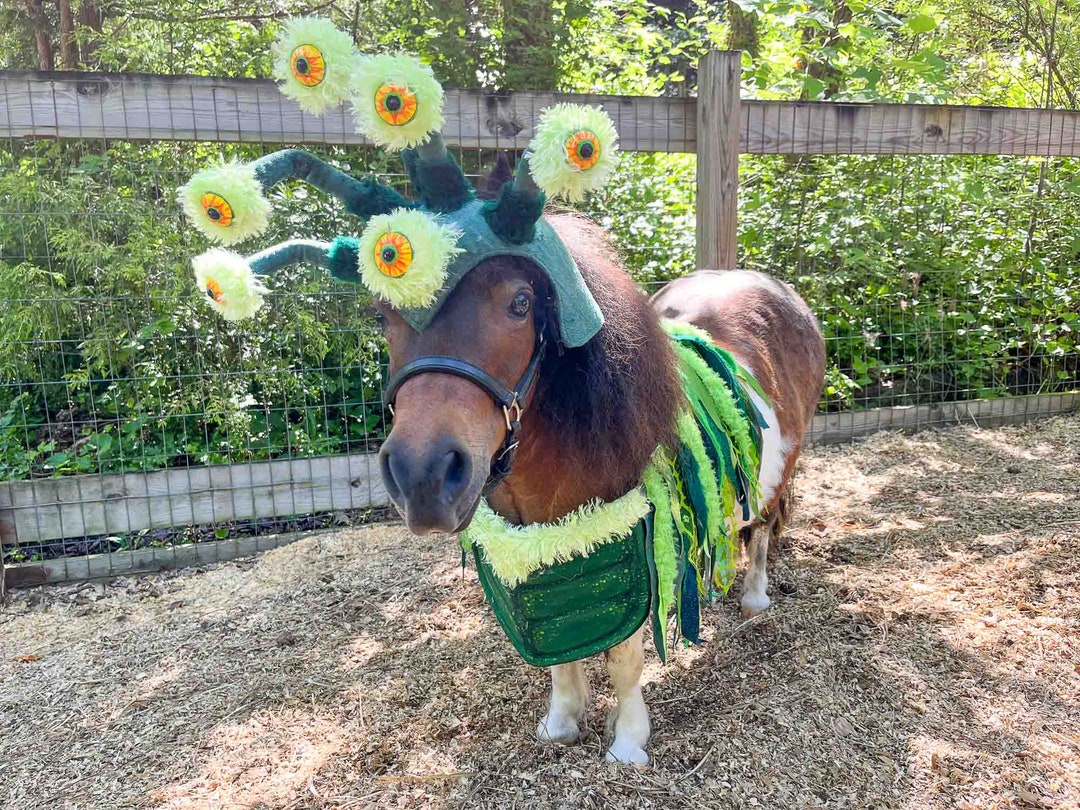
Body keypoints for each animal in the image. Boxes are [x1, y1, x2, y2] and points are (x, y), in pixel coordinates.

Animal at [377, 212, 826, 765]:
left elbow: (624, 660)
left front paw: (628, 741)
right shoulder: (537, 563)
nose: (422, 476)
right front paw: (562, 720)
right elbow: (557, 652)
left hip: (780, 469)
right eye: (382, 316)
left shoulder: (632, 551)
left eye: (520, 303)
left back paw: (754, 598)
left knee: (761, 531)